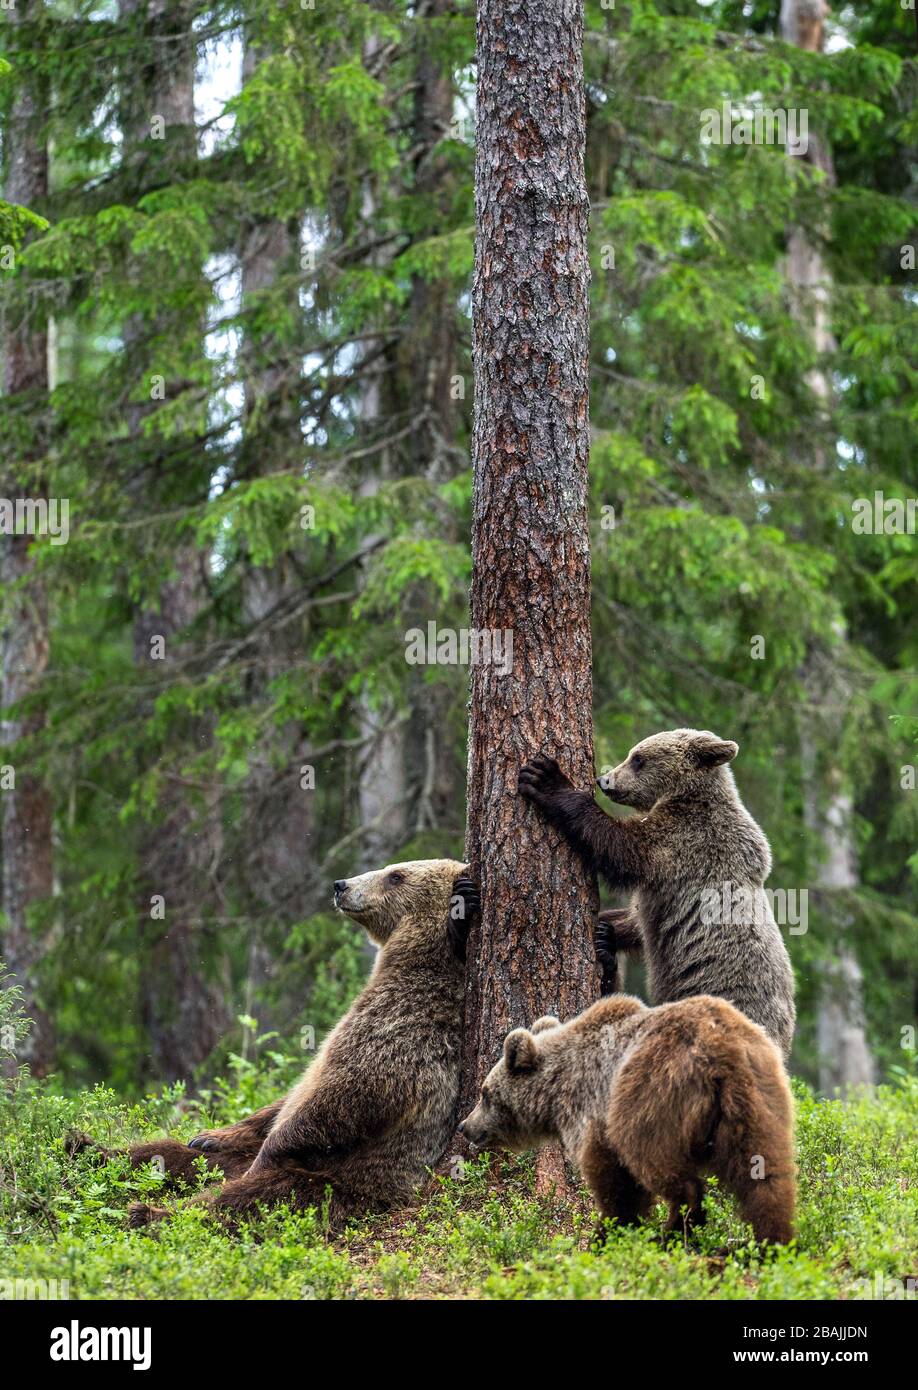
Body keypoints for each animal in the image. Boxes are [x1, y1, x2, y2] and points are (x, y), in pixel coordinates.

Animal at [67, 860, 477, 1229]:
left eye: (397, 875)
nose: (341, 885)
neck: (405, 962)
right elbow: (283, 1099)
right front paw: (211, 1135)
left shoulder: (402, 1025)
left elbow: (349, 1093)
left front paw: (267, 1153)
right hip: (231, 1163)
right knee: (165, 1152)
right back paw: (87, 1148)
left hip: (339, 1181)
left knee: (245, 1198)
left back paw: (151, 1212)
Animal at [458, 994, 796, 1245]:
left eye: (485, 1093)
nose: (465, 1126)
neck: (556, 1088)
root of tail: (720, 1048)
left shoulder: (593, 1111)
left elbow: (614, 1178)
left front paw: (607, 1232)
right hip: (758, 1094)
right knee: (764, 1174)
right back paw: (771, 1239)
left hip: (650, 1096)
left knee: (659, 1163)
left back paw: (674, 1231)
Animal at [518, 729, 796, 1060]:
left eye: (639, 758)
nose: (605, 781)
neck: (685, 797)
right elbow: (635, 921)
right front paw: (605, 931)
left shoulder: (684, 843)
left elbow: (620, 847)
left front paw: (545, 778)